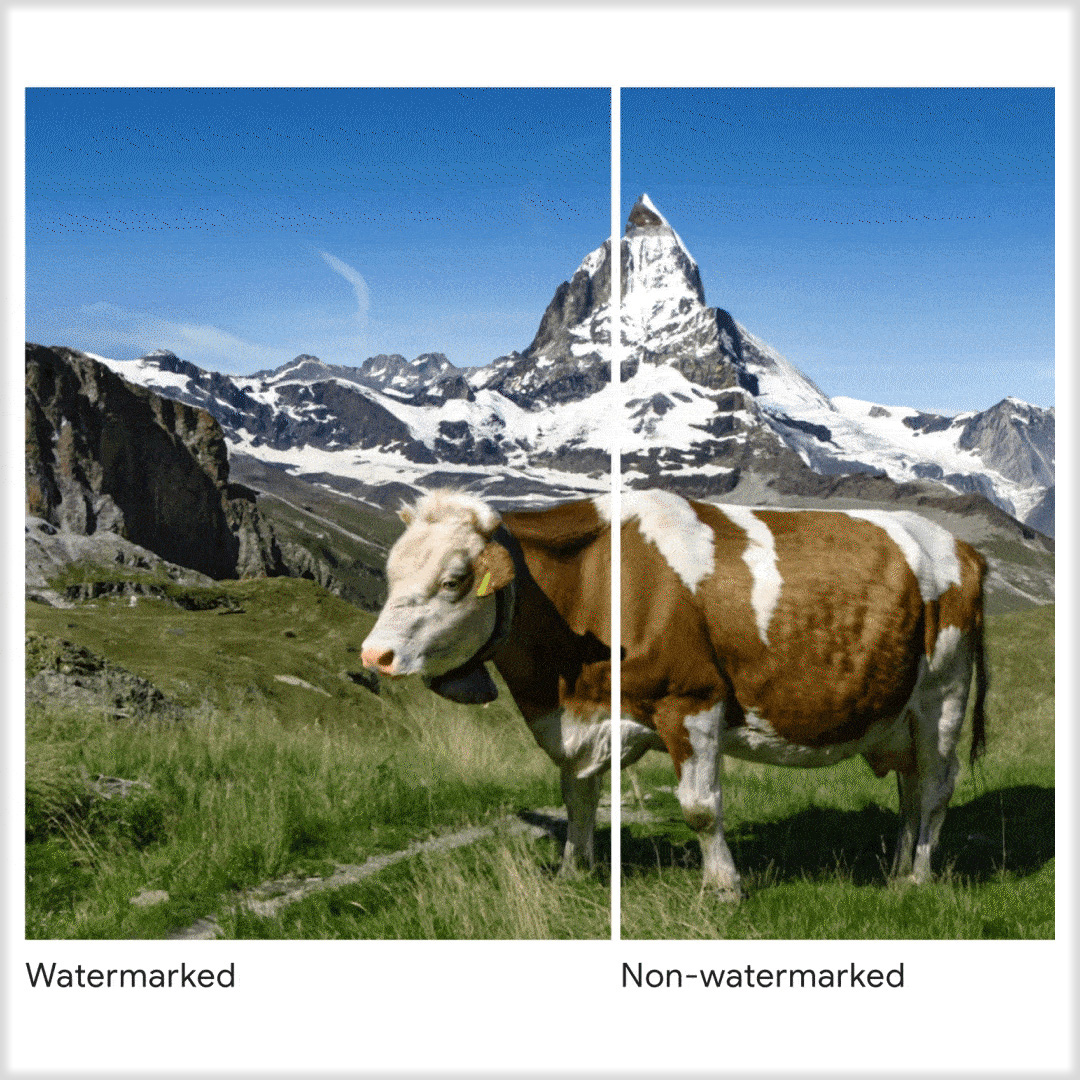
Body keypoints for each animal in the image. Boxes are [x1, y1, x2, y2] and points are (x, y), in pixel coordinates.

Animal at [362, 488, 989, 894]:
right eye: (390, 574)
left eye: (453, 581)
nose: (374, 655)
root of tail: (963, 548)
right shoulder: (583, 720)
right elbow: (578, 798)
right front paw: (573, 872)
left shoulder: (693, 701)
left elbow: (700, 807)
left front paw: (724, 887)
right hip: (899, 712)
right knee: (910, 790)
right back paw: (896, 868)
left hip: (942, 697)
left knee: (937, 787)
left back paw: (919, 876)